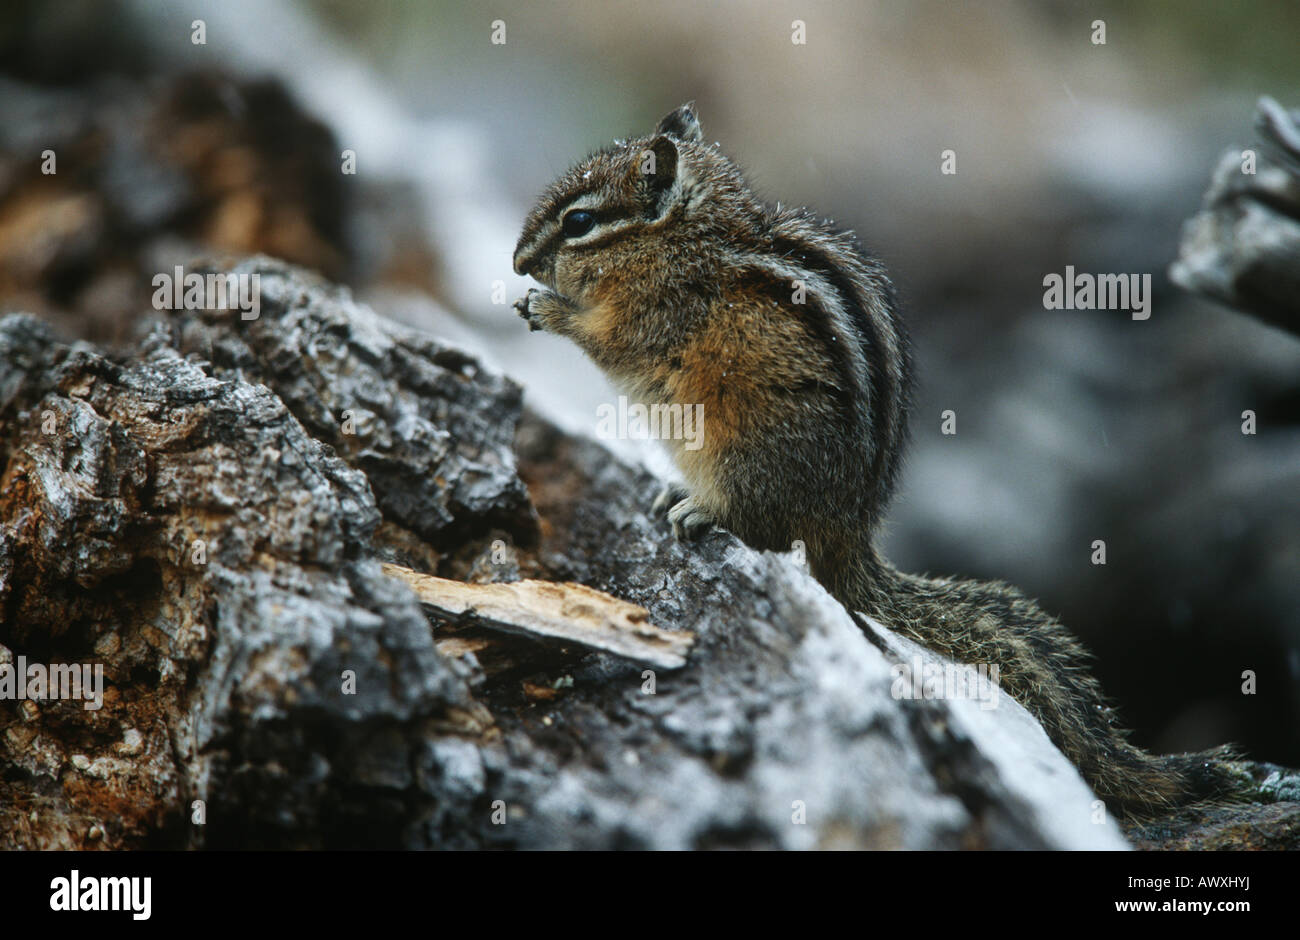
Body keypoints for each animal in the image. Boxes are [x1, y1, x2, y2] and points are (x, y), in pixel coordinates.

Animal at [512, 102, 1241, 816]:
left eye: (578, 221)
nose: (518, 262)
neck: (687, 238)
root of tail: (849, 534)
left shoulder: (655, 313)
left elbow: (609, 340)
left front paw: (547, 308)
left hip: (743, 452)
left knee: (762, 526)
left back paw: (703, 511)